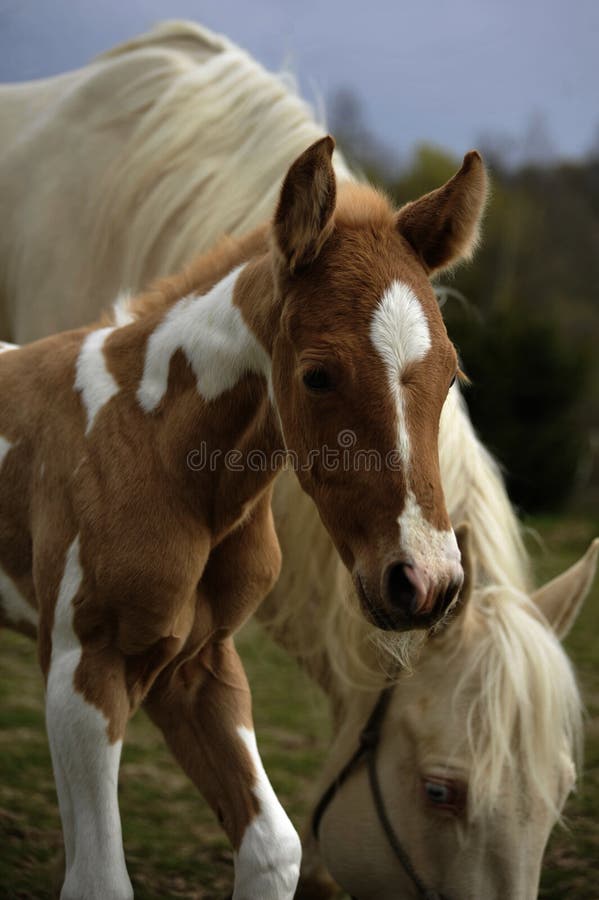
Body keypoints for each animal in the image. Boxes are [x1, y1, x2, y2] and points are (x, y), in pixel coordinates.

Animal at [1, 19, 594, 898]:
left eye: (452, 372)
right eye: (439, 790)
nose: (425, 582)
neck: (151, 443)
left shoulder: (196, 667)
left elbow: (274, 847)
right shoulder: (85, 665)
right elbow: (101, 879)